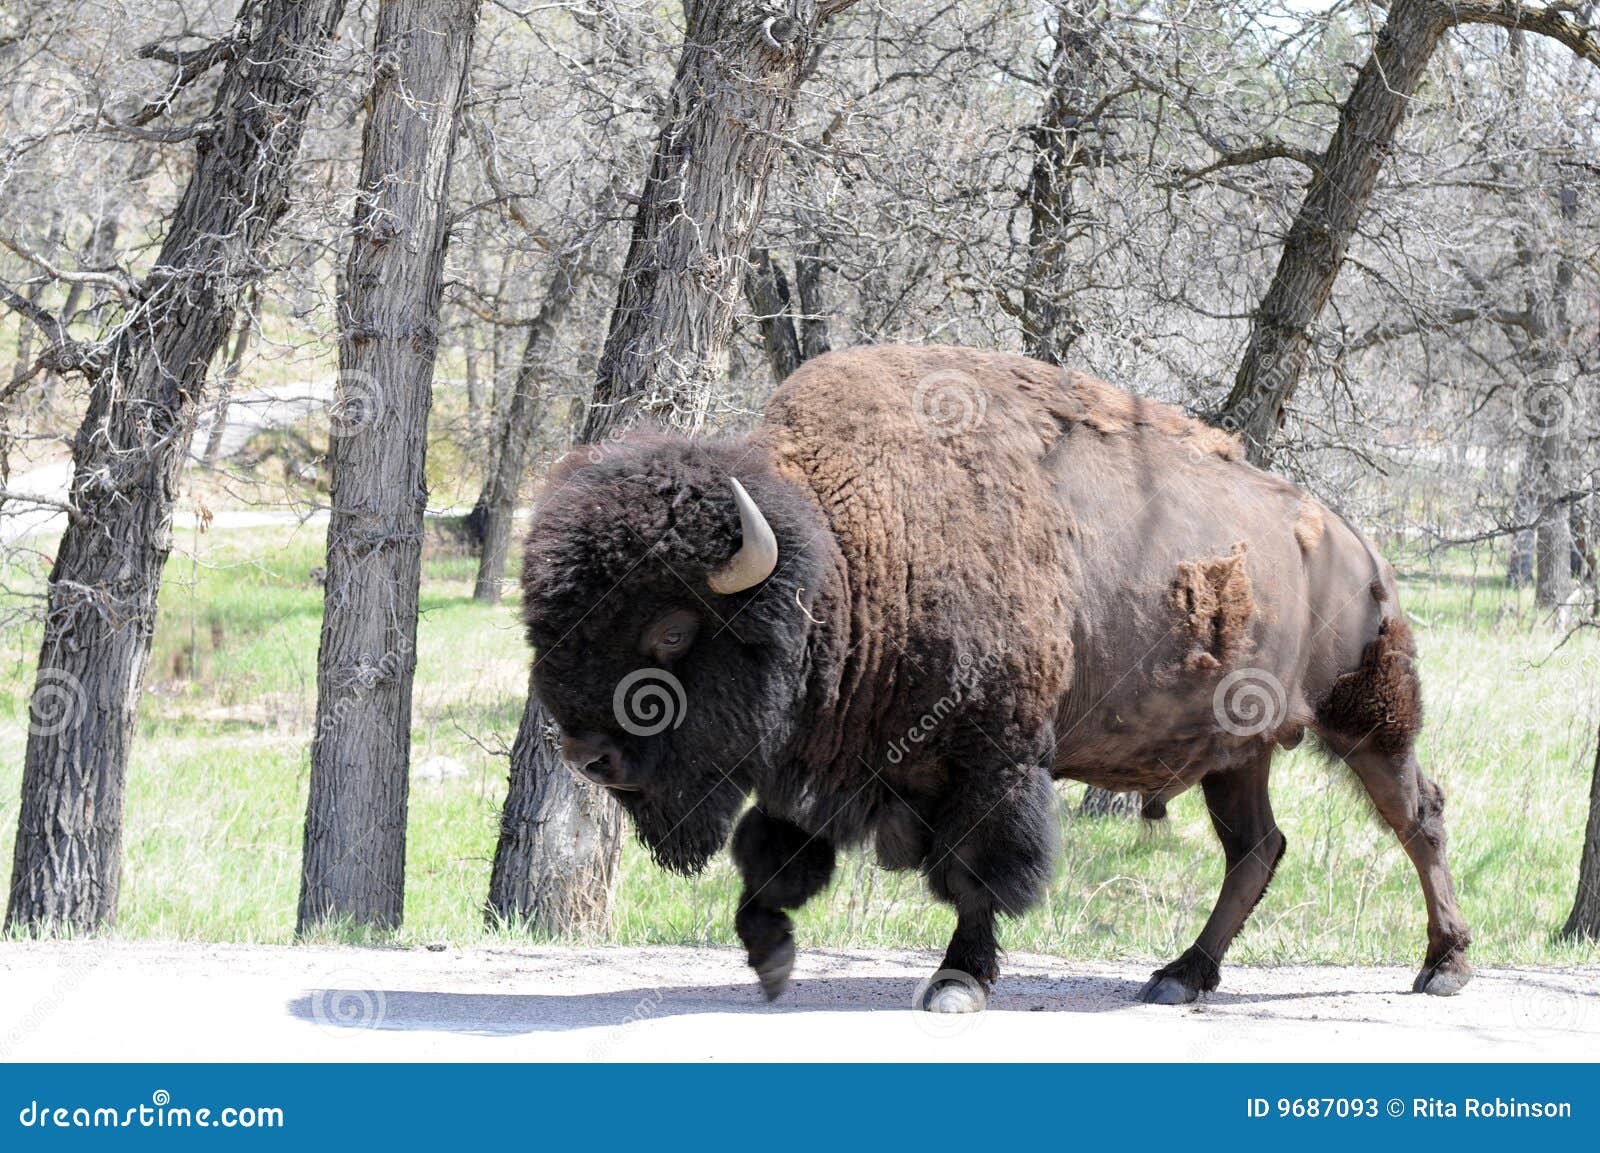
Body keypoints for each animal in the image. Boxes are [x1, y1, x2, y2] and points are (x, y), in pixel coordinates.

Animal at [521, 344, 1472, 1012]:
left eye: (672, 628)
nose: (586, 753)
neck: (851, 550)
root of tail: (1359, 544)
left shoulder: (992, 756)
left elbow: (978, 870)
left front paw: (958, 980)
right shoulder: (825, 760)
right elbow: (775, 854)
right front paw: (769, 956)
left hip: (1367, 718)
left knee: (1417, 817)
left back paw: (1445, 965)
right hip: (1239, 751)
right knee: (1257, 848)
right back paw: (1182, 974)